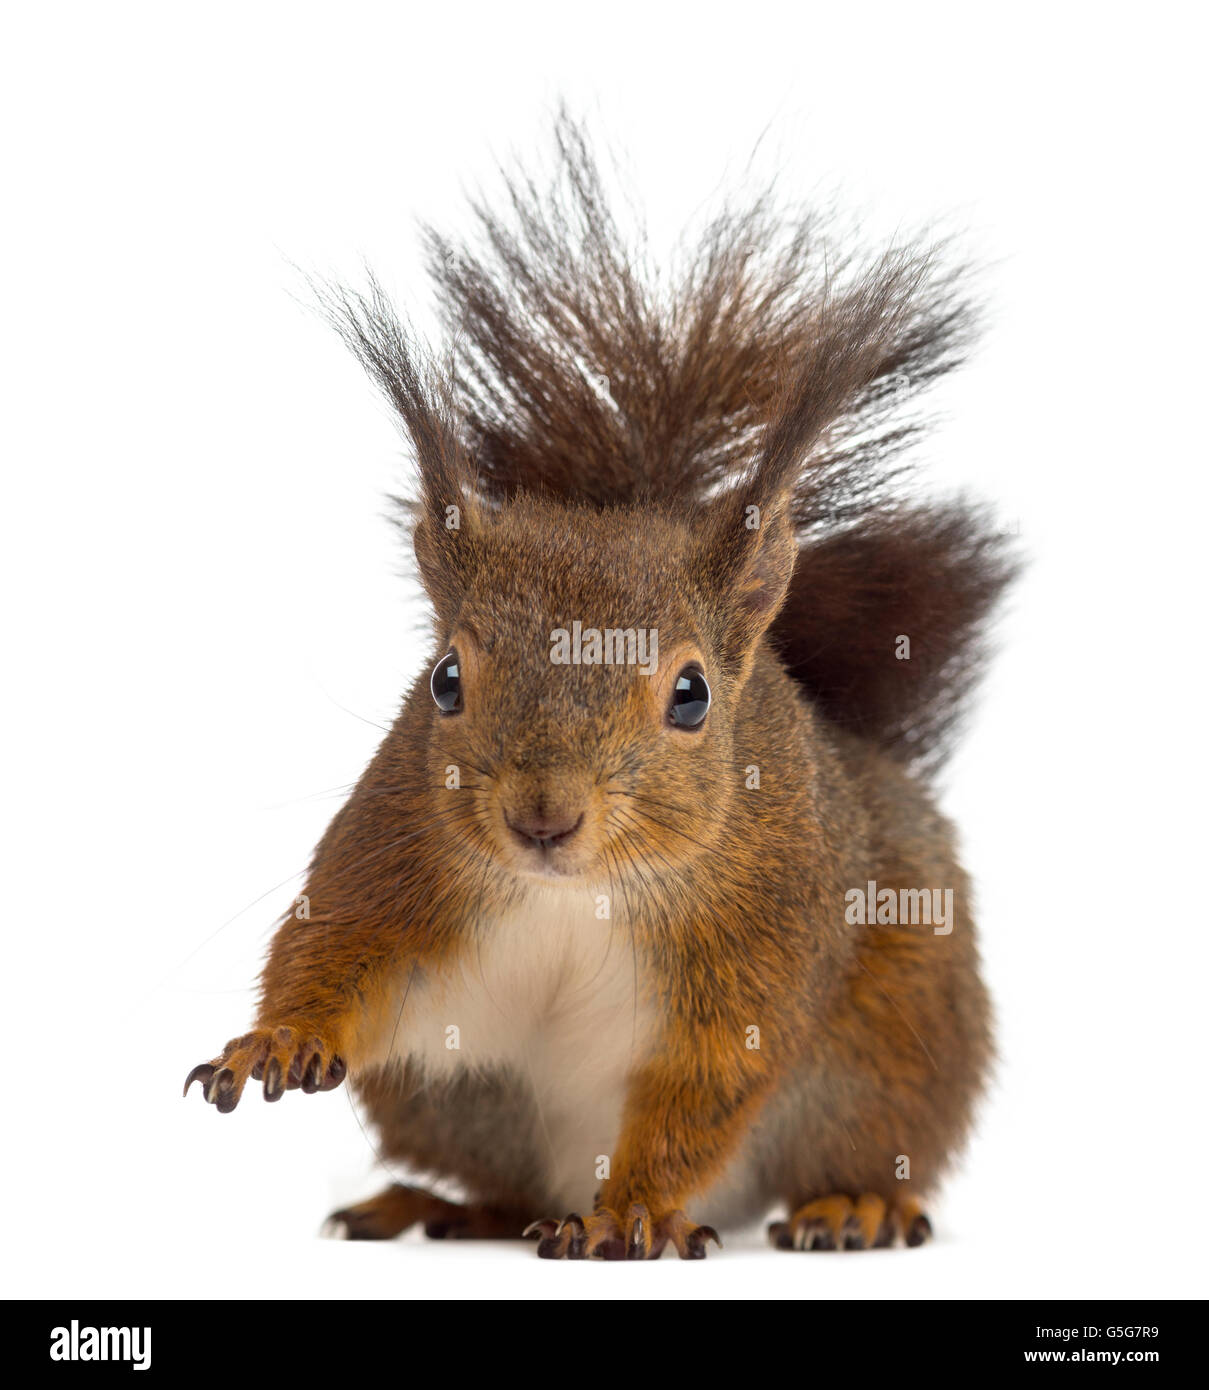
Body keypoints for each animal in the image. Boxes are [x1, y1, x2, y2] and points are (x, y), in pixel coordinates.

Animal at [184, 117, 1015, 1260]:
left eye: (693, 695)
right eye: (444, 679)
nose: (543, 818)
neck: (575, 894)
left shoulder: (756, 950)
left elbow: (703, 1090)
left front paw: (627, 1215)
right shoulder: (392, 859)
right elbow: (333, 953)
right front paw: (274, 1041)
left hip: (897, 1047)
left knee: (860, 1143)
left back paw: (855, 1203)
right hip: (461, 1102)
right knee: (498, 1175)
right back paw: (449, 1205)